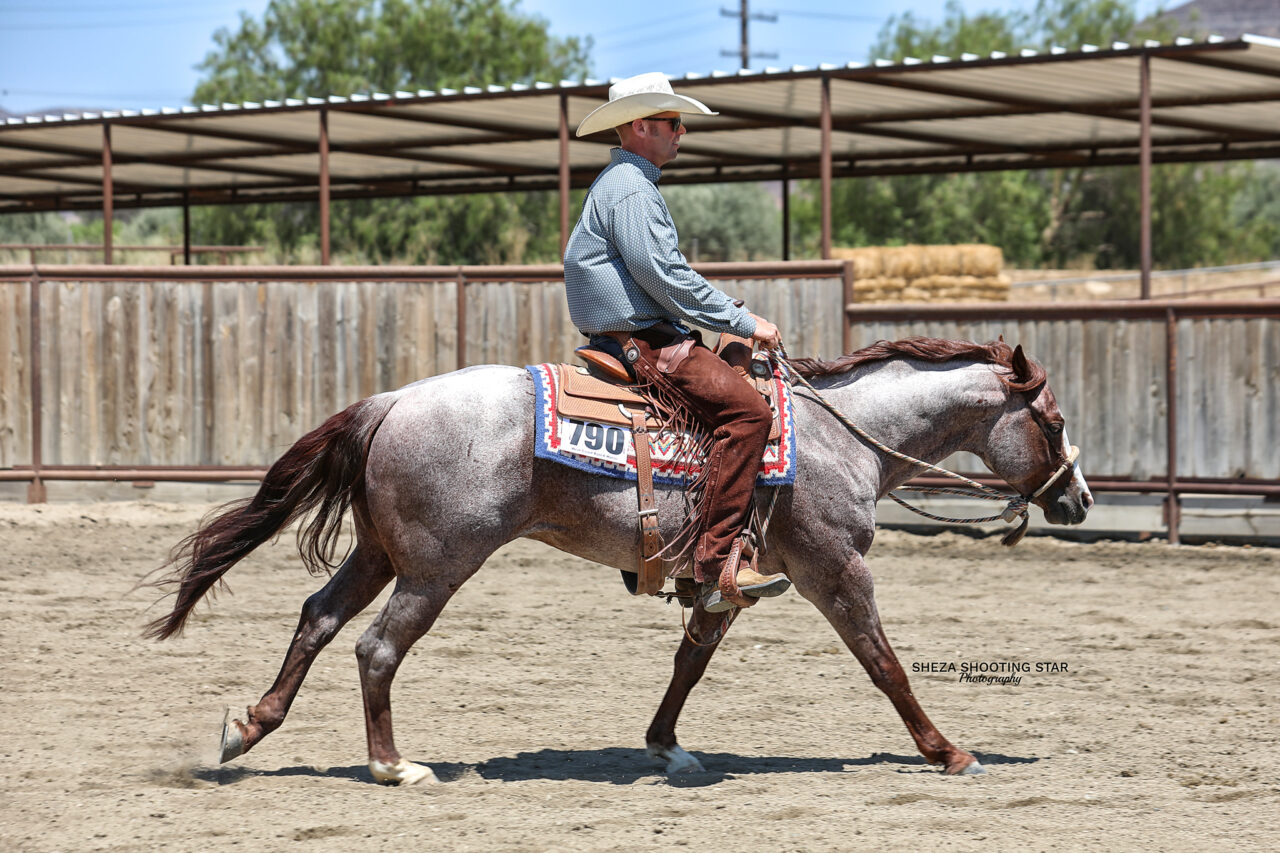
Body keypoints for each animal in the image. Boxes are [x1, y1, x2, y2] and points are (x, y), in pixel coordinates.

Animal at [145, 337, 1092, 784]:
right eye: (1052, 421)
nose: (1078, 500)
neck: (837, 437)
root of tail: (390, 401)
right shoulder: (834, 569)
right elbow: (885, 663)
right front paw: (948, 751)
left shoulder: (726, 580)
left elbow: (689, 661)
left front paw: (666, 745)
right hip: (437, 567)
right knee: (375, 648)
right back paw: (393, 763)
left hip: (382, 552)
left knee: (316, 617)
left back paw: (248, 725)